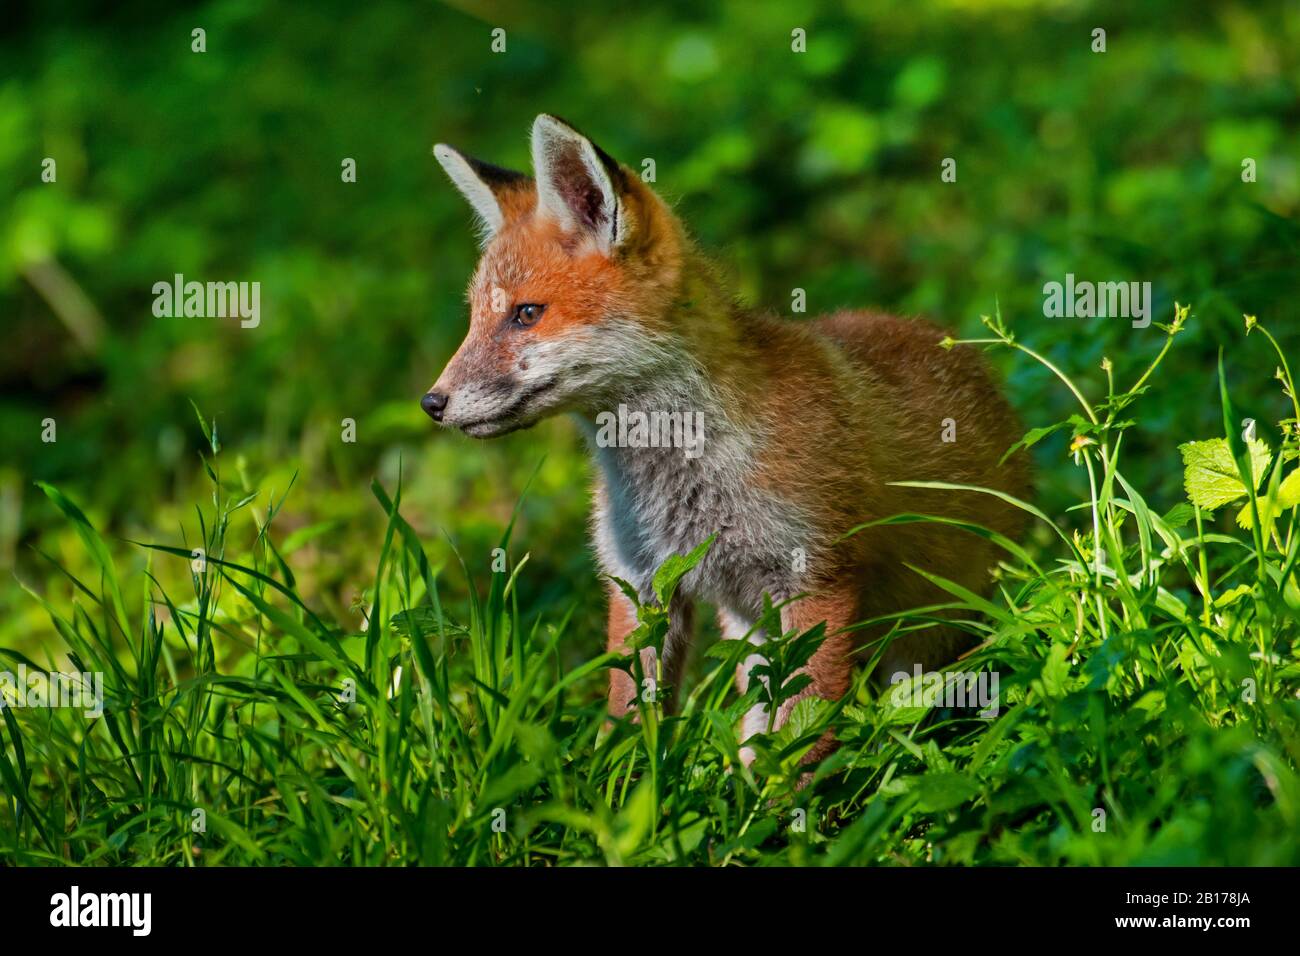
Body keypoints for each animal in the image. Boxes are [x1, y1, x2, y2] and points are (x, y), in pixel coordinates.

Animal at [425, 114, 1031, 764]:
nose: (432, 402)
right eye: (474, 319)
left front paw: (782, 797)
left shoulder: (817, 578)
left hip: (932, 635)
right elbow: (628, 723)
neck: (681, 478)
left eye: (527, 314)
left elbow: (801, 741)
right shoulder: (640, 584)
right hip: (753, 630)